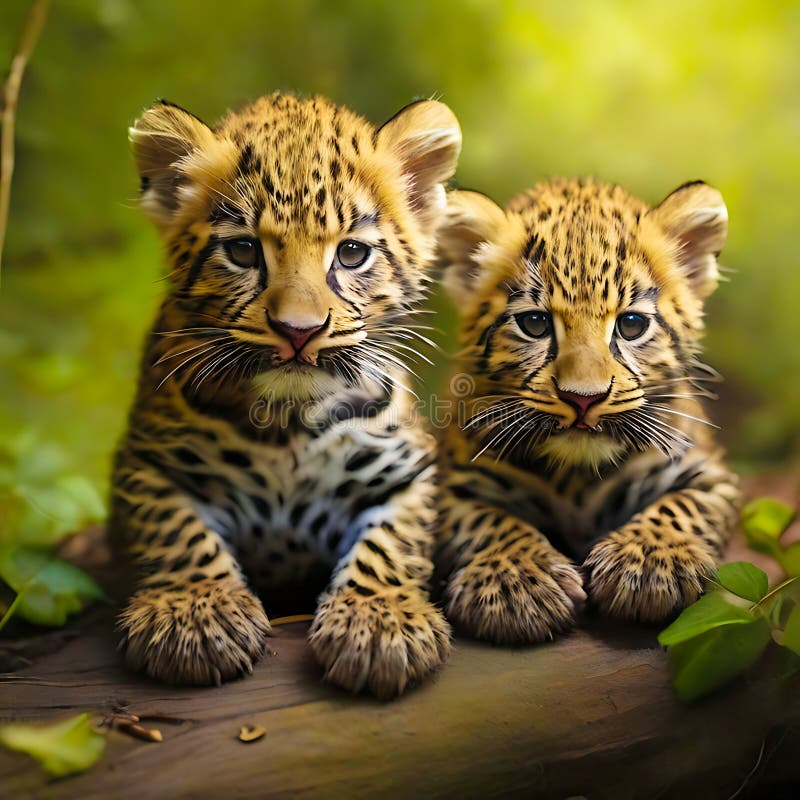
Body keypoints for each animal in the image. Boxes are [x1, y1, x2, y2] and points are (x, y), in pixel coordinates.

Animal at [109, 92, 461, 698]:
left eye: (351, 254)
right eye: (244, 251)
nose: (299, 331)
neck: (286, 421)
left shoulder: (408, 467)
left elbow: (393, 541)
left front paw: (379, 622)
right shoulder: (146, 461)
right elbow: (173, 529)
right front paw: (195, 612)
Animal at [435, 177, 740, 643]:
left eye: (631, 325)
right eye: (535, 324)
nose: (583, 398)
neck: (574, 477)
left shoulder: (710, 476)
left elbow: (680, 507)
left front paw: (649, 562)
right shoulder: (452, 483)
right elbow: (484, 520)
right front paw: (515, 582)